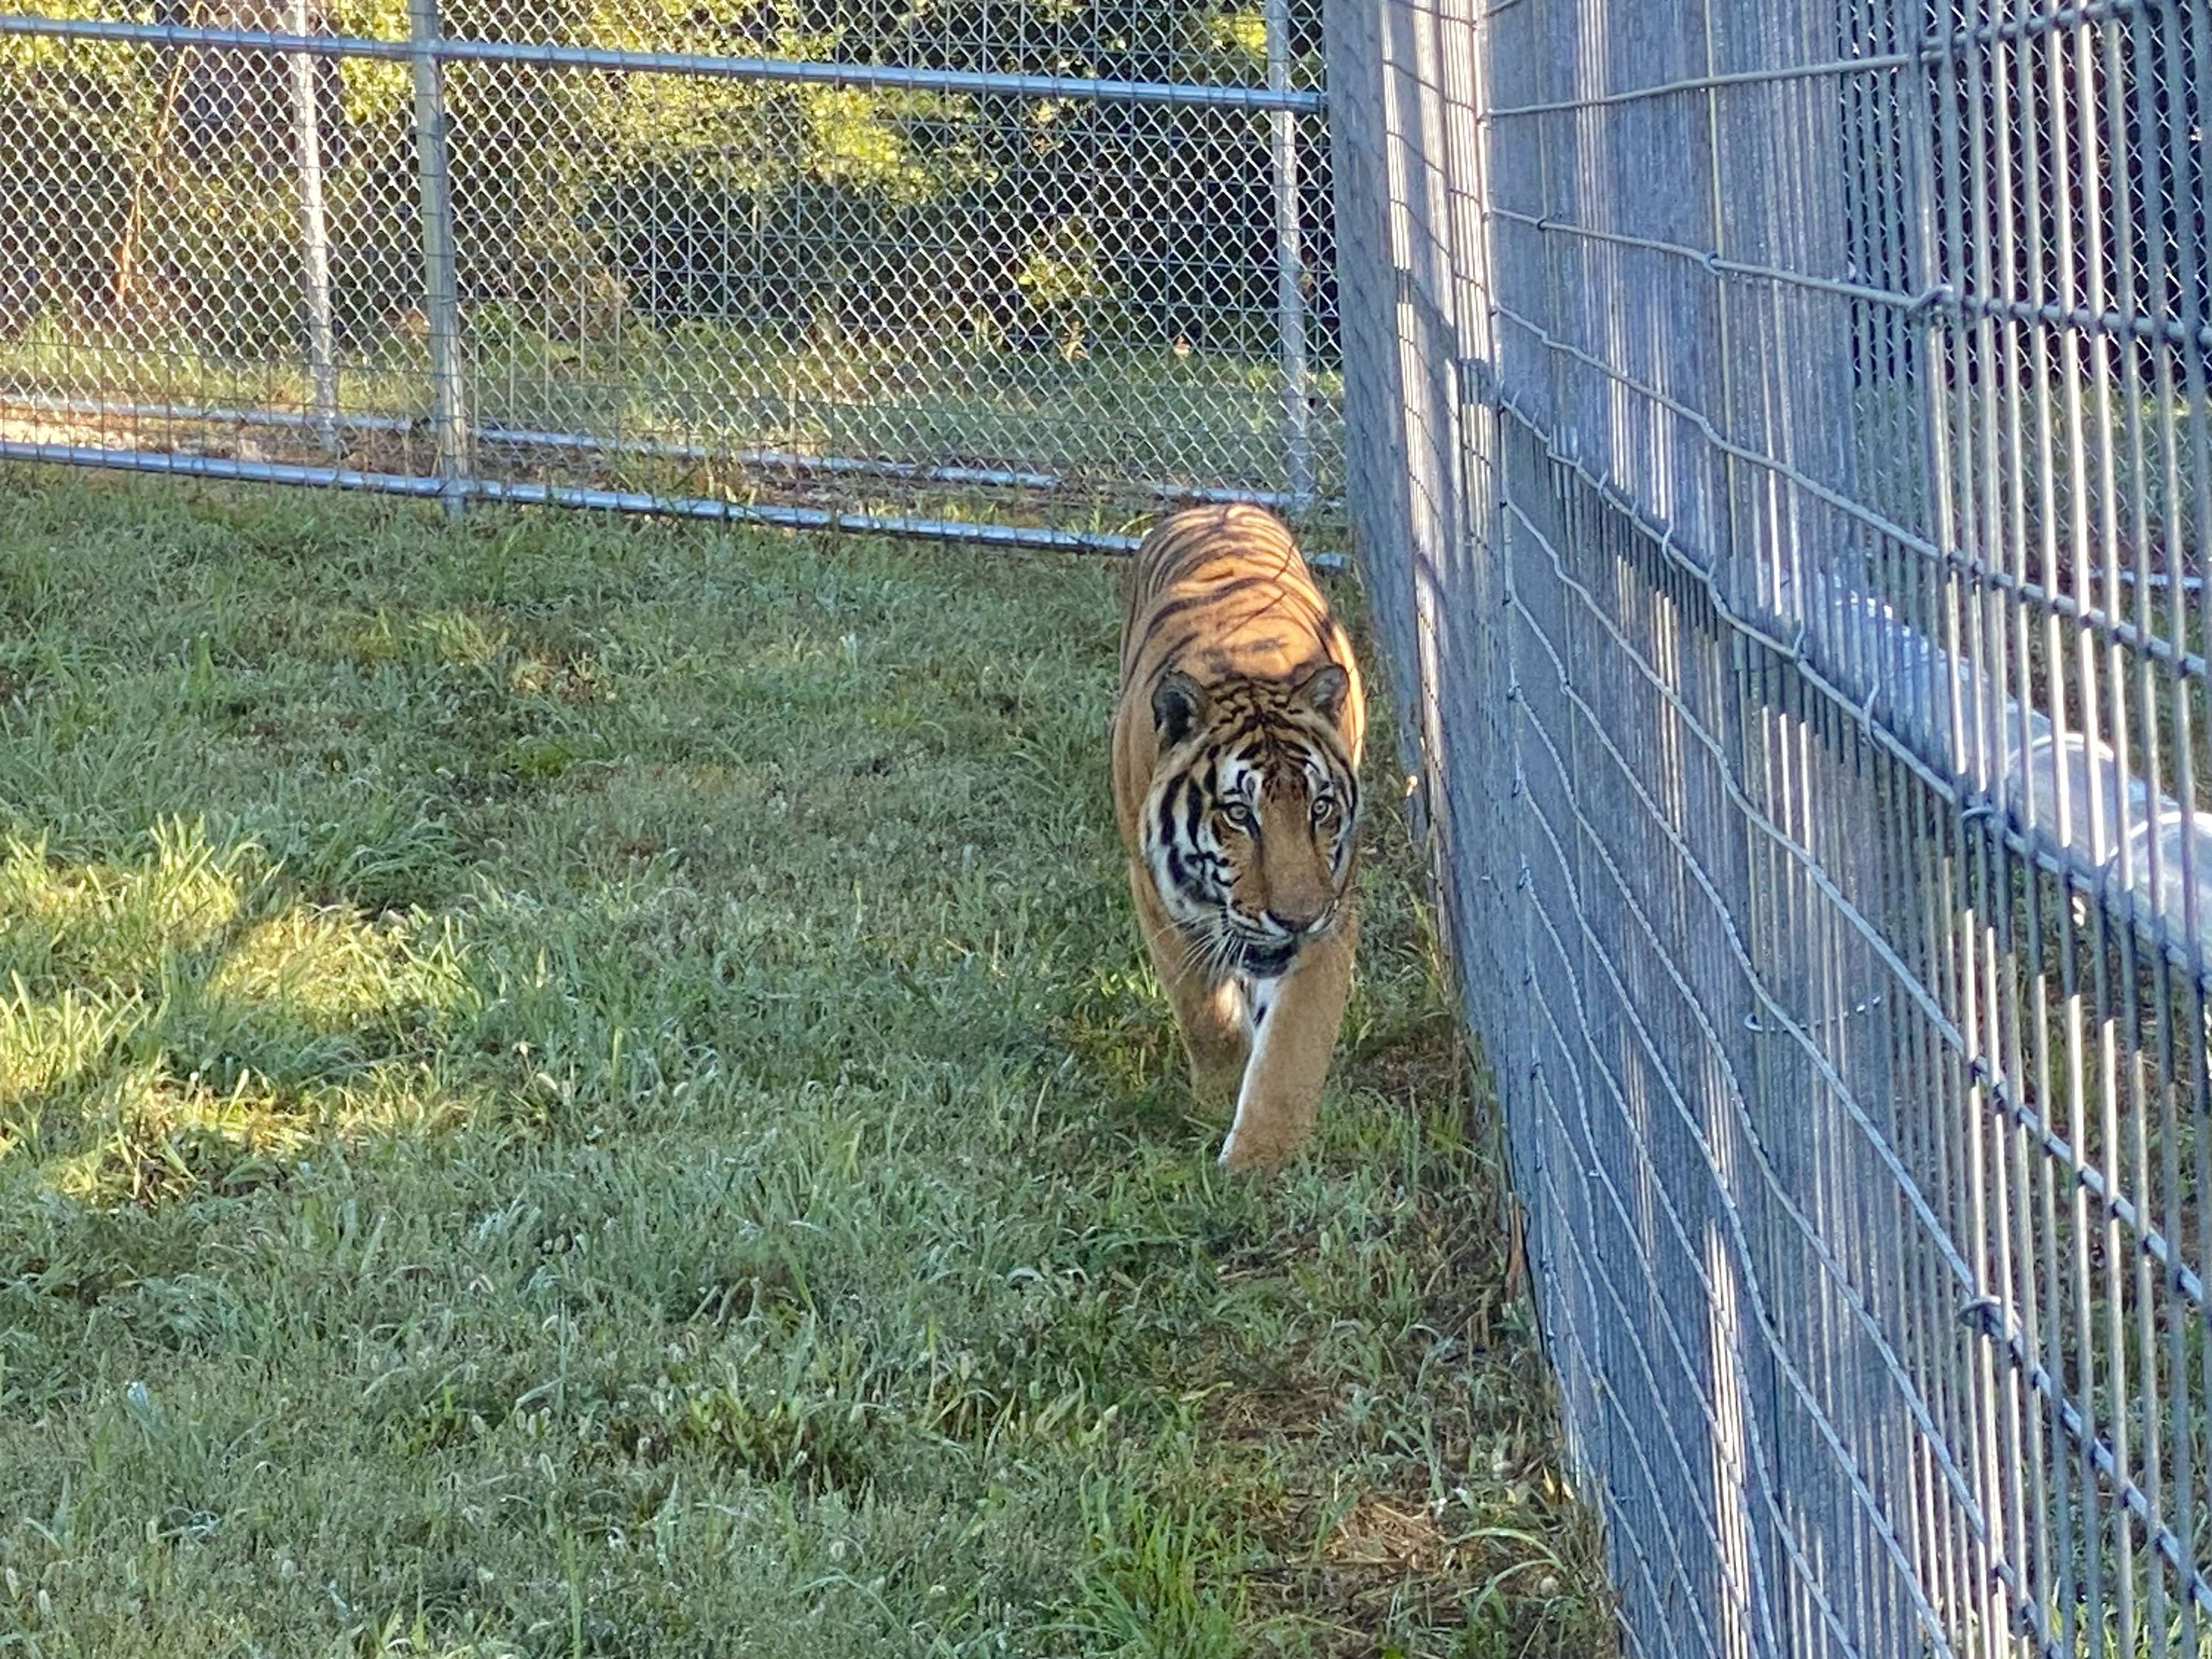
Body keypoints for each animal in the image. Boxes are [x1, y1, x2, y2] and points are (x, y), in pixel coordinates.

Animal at [1110, 502, 1366, 1170]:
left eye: (1321, 808)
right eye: (1238, 814)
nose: (1296, 918)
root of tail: (1213, 505)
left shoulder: (1335, 909)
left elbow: (1292, 1048)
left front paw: (1260, 1163)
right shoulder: (1157, 897)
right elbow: (1207, 1019)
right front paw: (1218, 1105)